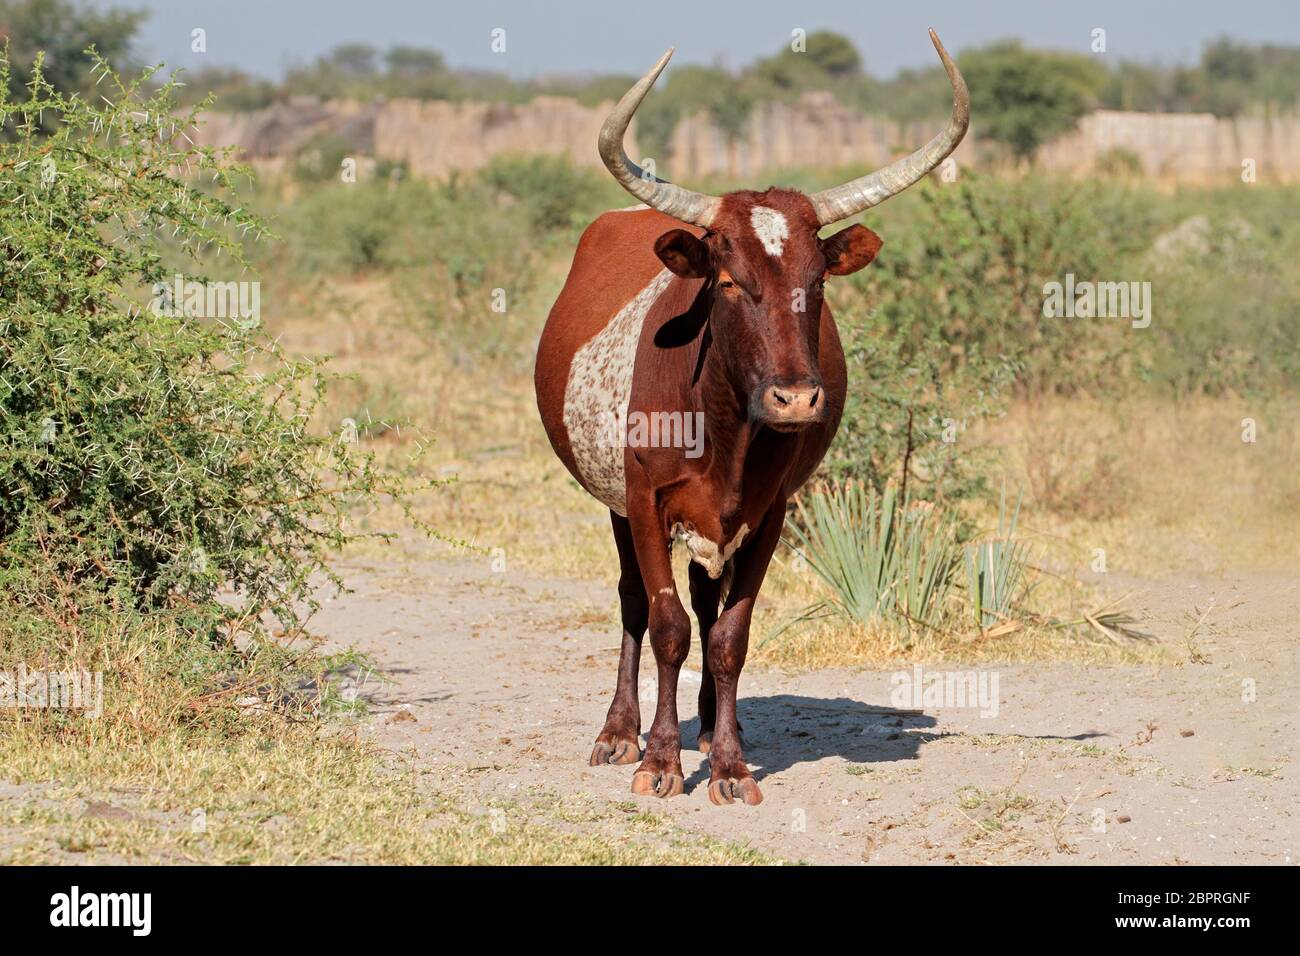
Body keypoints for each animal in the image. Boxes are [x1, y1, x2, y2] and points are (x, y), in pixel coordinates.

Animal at [534, 30, 969, 805]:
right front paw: (658, 760)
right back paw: (620, 731)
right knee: (634, 604)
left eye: (817, 282)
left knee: (708, 605)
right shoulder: (645, 502)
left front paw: (730, 766)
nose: (795, 399)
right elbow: (666, 624)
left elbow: (728, 636)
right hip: (616, 503)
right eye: (730, 283)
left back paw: (709, 726)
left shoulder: (769, 511)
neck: (720, 426)